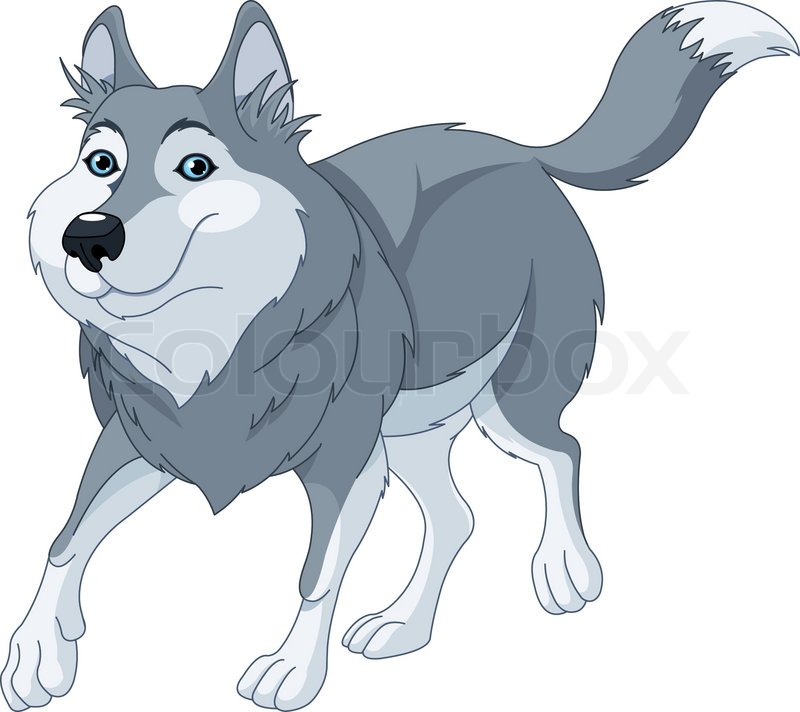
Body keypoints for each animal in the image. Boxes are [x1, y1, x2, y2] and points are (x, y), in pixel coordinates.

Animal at [2, 1, 796, 710]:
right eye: (101, 163)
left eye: (196, 166)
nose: (88, 236)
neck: (214, 332)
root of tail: (520, 151)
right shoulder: (141, 441)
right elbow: (65, 537)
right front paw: (40, 652)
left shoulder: (343, 464)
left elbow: (316, 573)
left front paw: (292, 671)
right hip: (407, 432)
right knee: (458, 517)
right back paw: (403, 626)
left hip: (503, 403)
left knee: (562, 451)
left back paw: (566, 568)